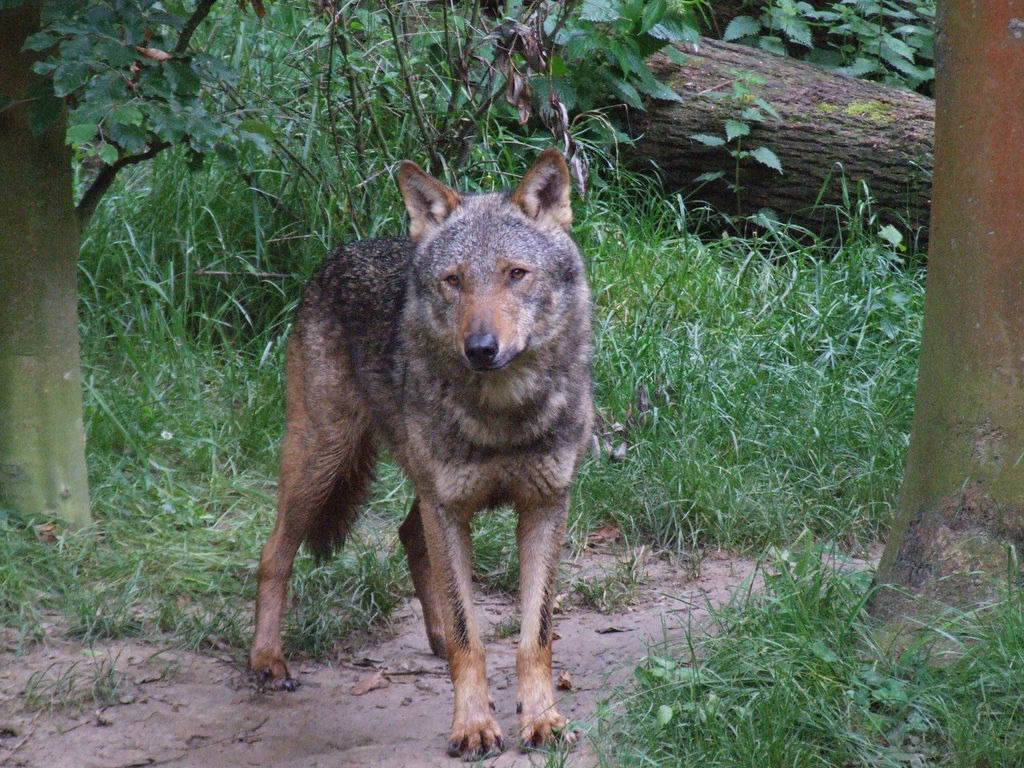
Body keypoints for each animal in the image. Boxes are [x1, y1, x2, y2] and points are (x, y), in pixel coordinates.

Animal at [248, 148, 594, 758]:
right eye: (453, 281)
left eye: (516, 274)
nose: (480, 348)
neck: (502, 414)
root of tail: (340, 252)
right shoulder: (450, 507)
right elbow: (468, 635)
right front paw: (474, 726)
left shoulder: (547, 504)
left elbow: (533, 636)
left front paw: (544, 719)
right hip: (322, 461)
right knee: (274, 555)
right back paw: (267, 661)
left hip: (408, 482)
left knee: (409, 536)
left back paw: (430, 639)